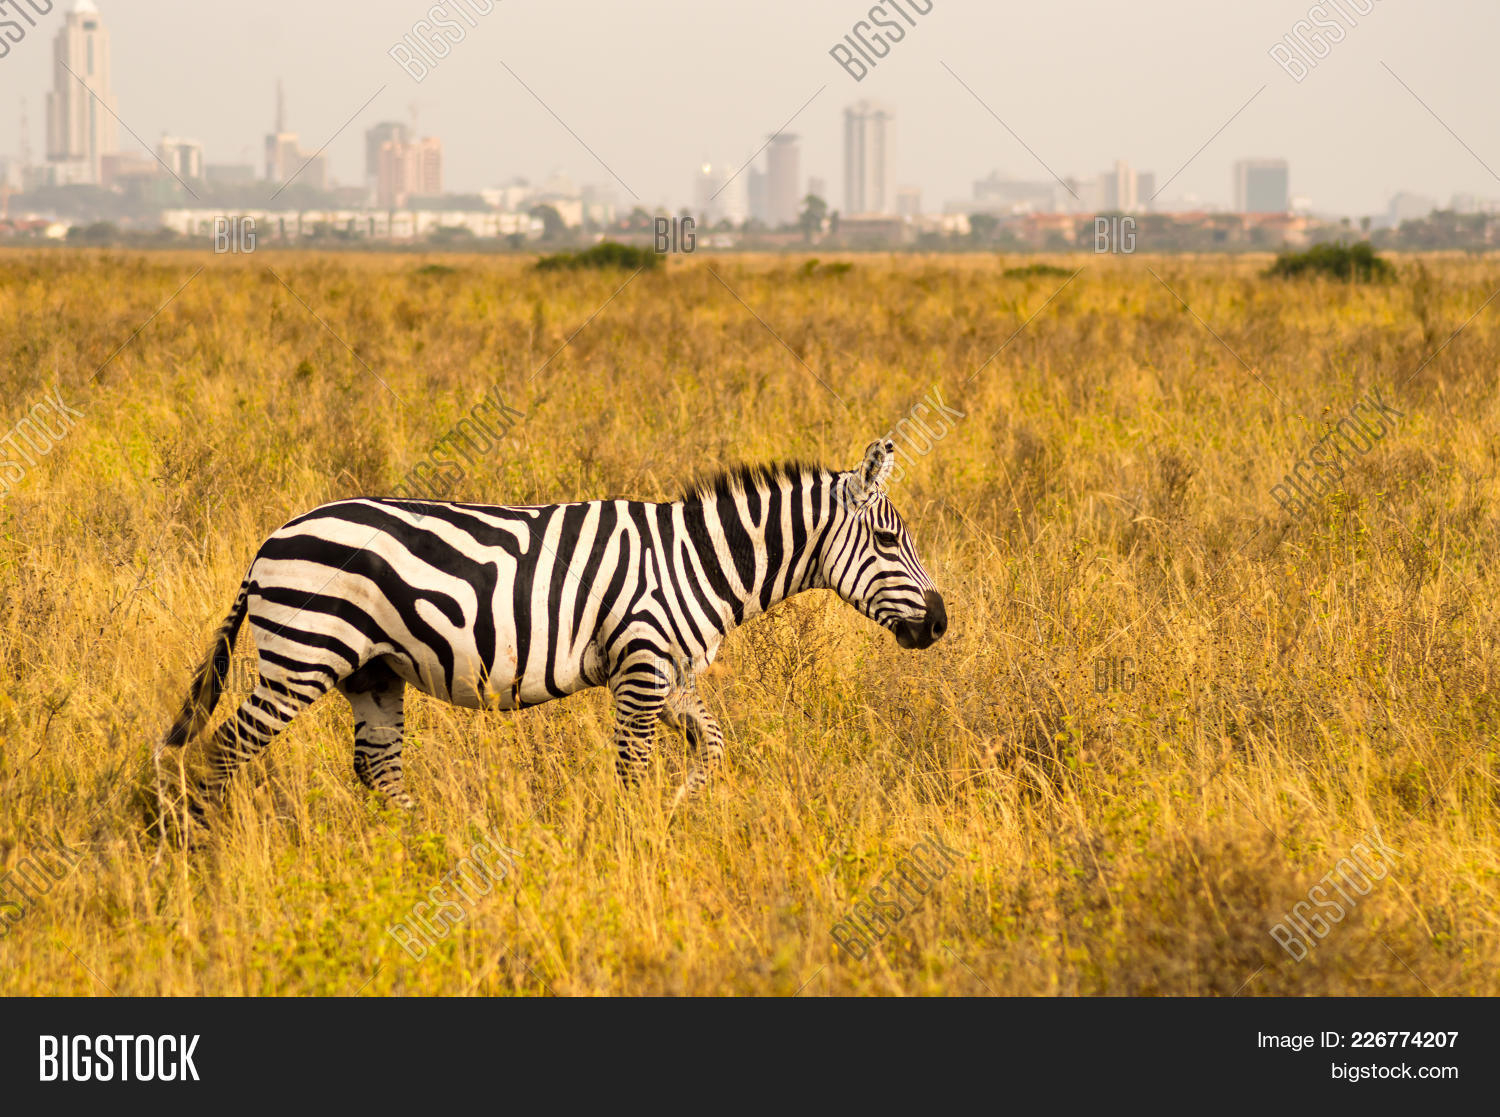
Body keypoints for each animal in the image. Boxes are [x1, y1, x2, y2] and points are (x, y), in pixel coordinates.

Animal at [162, 438, 947, 820]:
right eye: (888, 541)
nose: (940, 623)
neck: (699, 561)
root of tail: (267, 543)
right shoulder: (640, 664)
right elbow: (632, 765)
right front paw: (633, 840)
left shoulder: (668, 671)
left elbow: (714, 744)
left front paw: (678, 812)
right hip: (304, 657)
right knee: (225, 750)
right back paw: (204, 849)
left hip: (371, 670)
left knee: (378, 767)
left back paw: (424, 847)